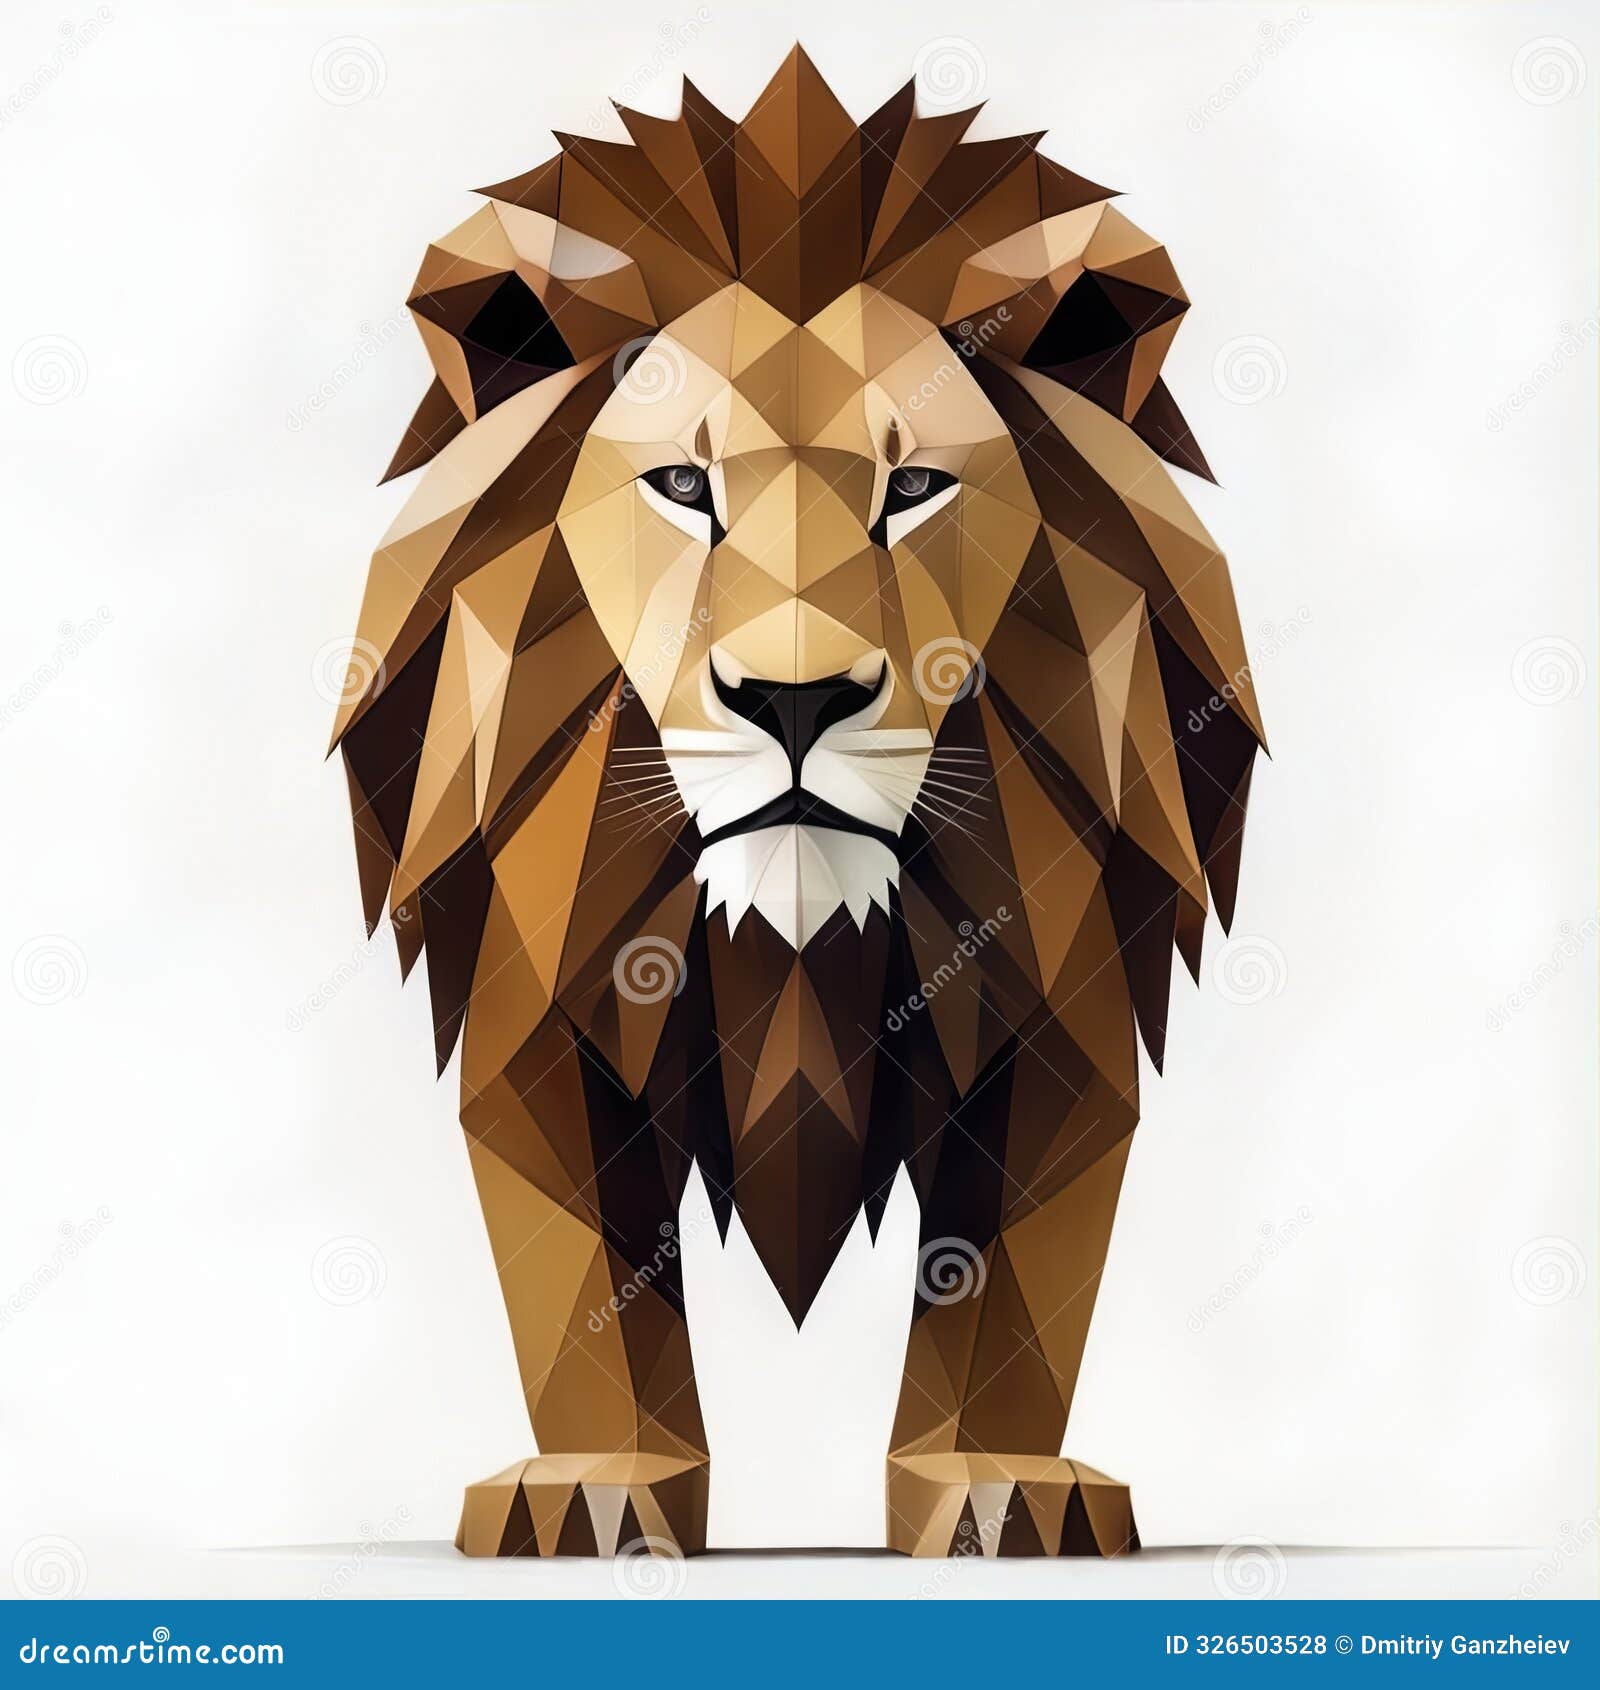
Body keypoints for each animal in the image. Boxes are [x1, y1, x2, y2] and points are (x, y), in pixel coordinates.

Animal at [330, 47, 1265, 1560]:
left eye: (917, 487)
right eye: (682, 485)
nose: (795, 699)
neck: (798, 938)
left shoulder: (1057, 1006)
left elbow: (1007, 1272)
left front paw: (996, 1486)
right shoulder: (544, 1006)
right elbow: (586, 1272)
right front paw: (595, 1487)